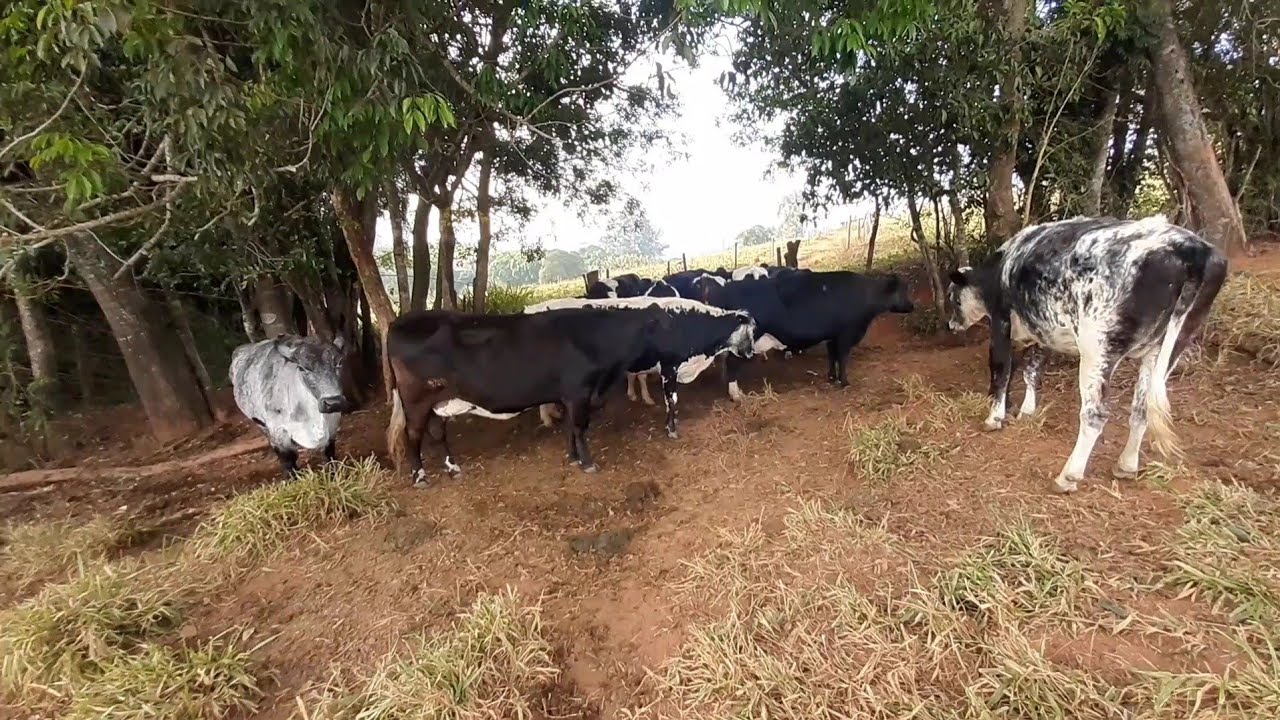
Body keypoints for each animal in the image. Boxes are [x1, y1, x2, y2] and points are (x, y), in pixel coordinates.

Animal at [230, 335, 349, 477]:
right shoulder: (278, 430)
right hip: (260, 423)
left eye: (339, 362)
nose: (333, 402)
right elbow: (288, 459)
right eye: (302, 368)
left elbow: (329, 453)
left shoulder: (333, 424)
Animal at [384, 307, 677, 485]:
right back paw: (420, 476)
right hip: (416, 400)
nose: (678, 350)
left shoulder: (567, 395)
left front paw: (572, 456)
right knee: (413, 435)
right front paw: (587, 462)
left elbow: (569, 427)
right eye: (660, 327)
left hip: (439, 400)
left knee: (437, 432)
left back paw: (453, 468)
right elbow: (579, 427)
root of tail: (400, 321)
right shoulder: (579, 392)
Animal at [524, 295, 757, 436]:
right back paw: (547, 419)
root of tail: (532, 309)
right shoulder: (669, 368)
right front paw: (671, 429)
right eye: (750, 332)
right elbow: (671, 400)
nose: (750, 353)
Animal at [704, 271, 915, 399]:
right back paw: (736, 395)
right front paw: (845, 382)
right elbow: (842, 358)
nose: (912, 306)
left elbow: (832, 357)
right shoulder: (846, 334)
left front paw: (832, 377)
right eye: (901, 290)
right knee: (732, 364)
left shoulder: (832, 336)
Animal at [945, 216, 1228, 493]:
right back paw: (1126, 465)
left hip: (1098, 348)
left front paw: (994, 417)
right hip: (1168, 347)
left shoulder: (1001, 322)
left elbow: (1001, 369)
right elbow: (1032, 371)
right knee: (1142, 407)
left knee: (1095, 414)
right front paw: (1026, 410)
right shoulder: (1042, 332)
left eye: (953, 297)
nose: (950, 325)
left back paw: (1068, 477)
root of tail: (1190, 248)